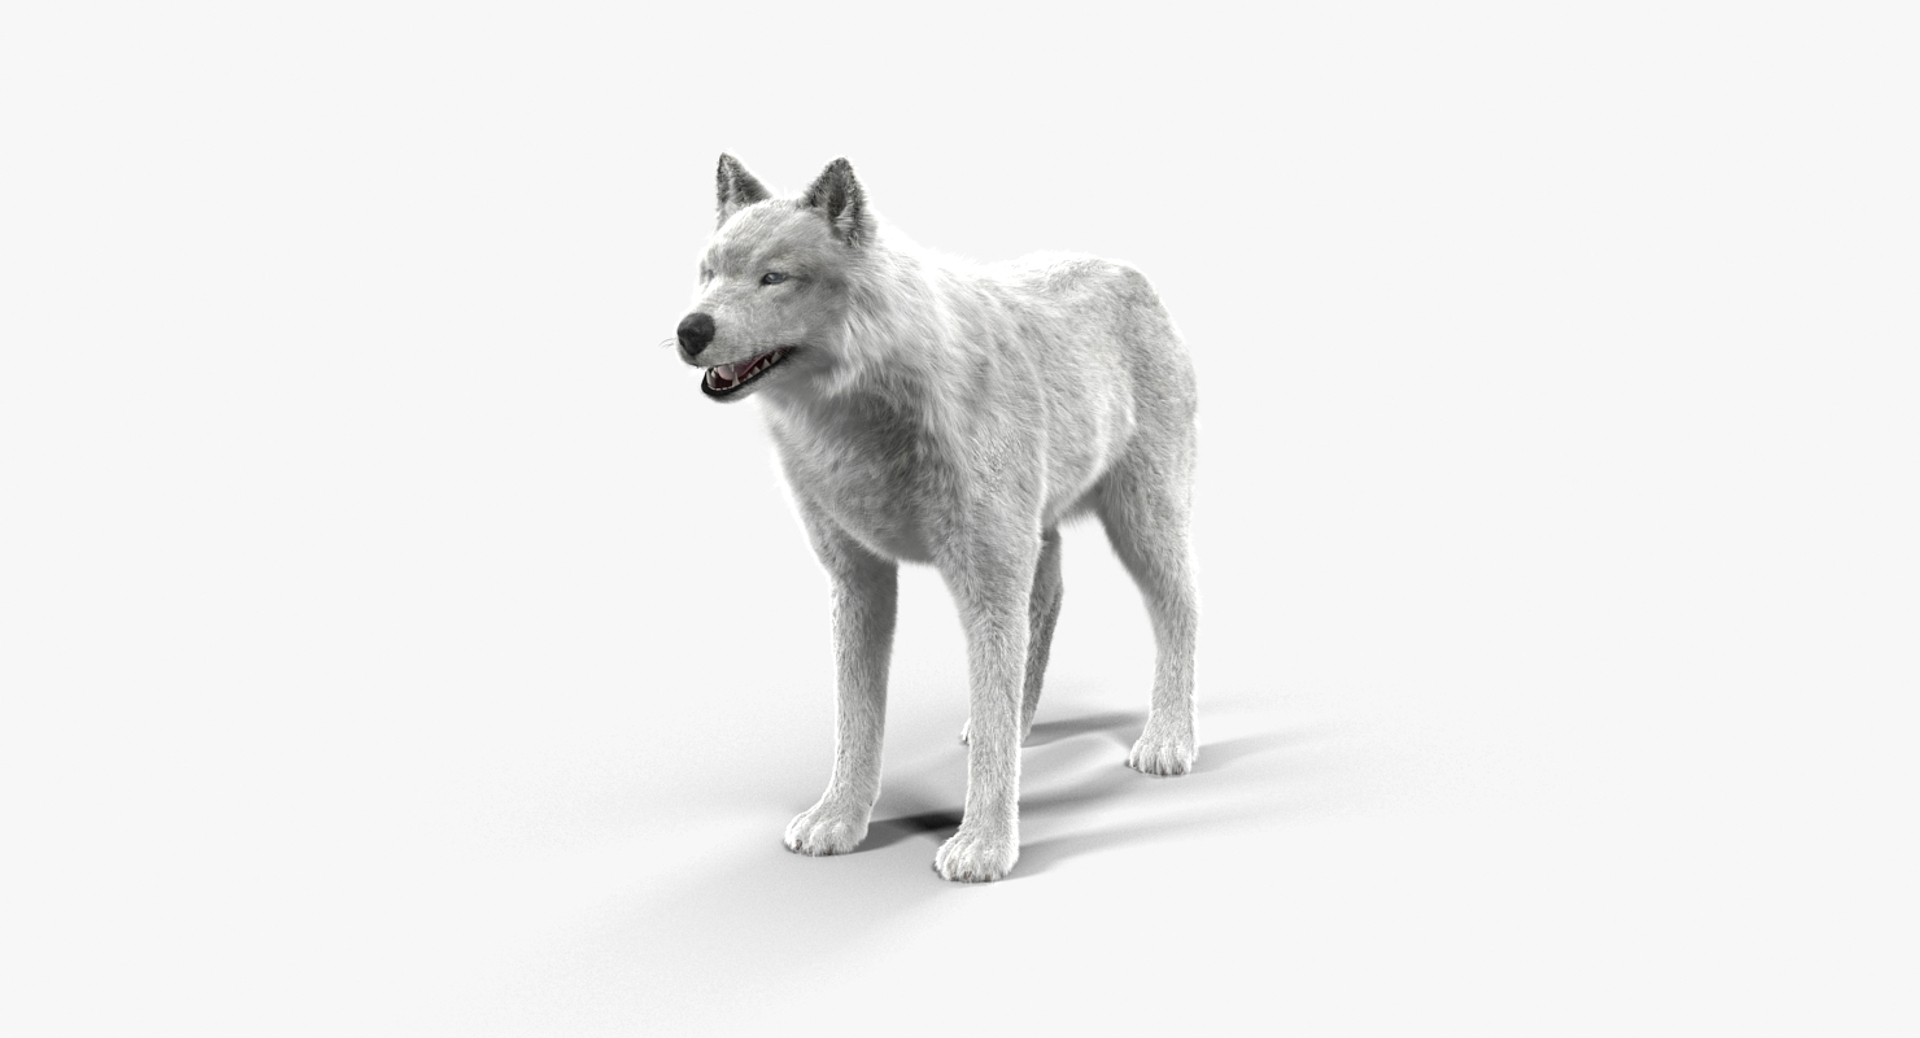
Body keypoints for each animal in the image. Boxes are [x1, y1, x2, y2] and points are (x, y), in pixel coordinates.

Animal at [673, 155, 1199, 882]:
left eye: (773, 277)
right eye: (708, 273)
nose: (688, 330)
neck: (859, 418)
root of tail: (1130, 273)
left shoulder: (984, 582)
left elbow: (982, 712)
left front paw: (983, 847)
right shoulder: (859, 581)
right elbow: (857, 721)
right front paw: (839, 820)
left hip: (1141, 523)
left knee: (1182, 610)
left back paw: (1169, 740)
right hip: (1042, 539)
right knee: (1049, 605)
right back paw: (1017, 724)